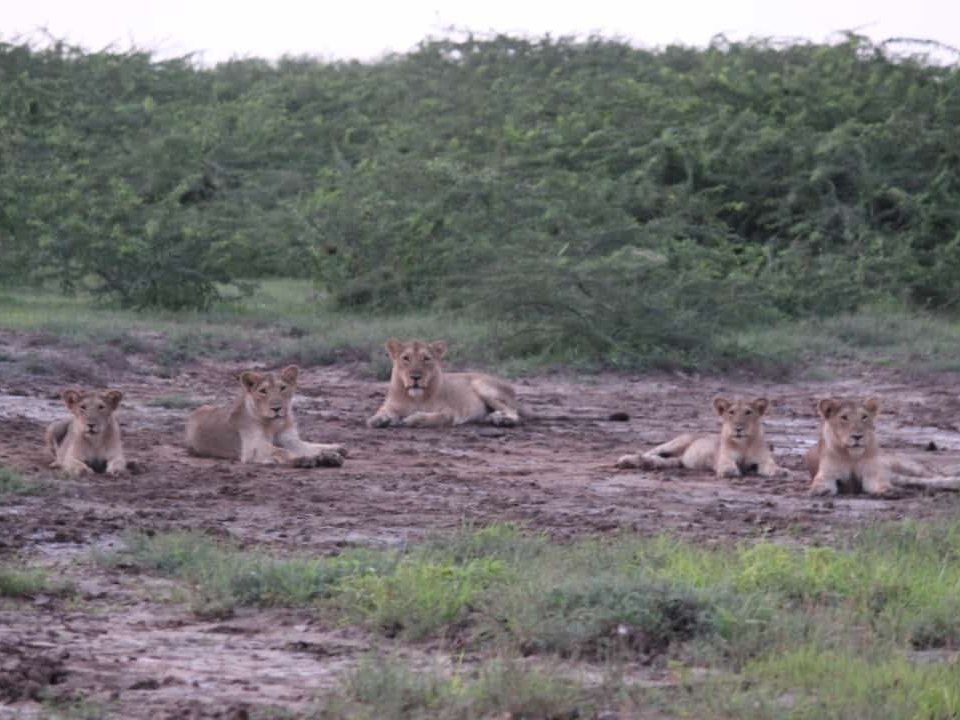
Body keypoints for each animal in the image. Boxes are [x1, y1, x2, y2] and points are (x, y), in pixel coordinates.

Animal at [186, 365, 346, 467]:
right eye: (263, 391)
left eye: (283, 388)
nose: (276, 408)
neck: (274, 424)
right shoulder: (253, 447)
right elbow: (281, 451)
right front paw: (304, 459)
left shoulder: (290, 440)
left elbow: (308, 446)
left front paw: (330, 455)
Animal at [366, 339, 526, 428]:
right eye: (406, 358)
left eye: (426, 358)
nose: (416, 377)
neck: (416, 397)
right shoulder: (389, 407)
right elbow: (380, 413)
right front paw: (378, 420)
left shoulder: (450, 412)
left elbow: (432, 417)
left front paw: (411, 419)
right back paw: (492, 417)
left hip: (481, 386)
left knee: (513, 411)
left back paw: (503, 420)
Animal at [615, 397, 789, 479]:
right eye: (731, 412)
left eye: (748, 412)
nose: (738, 428)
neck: (744, 443)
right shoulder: (723, 458)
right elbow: (727, 465)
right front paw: (729, 471)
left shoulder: (764, 460)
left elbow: (771, 466)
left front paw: (780, 471)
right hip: (675, 443)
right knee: (651, 452)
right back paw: (627, 460)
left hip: (676, 461)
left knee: (662, 461)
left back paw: (644, 463)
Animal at [805, 397, 960, 496]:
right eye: (844, 417)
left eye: (864, 417)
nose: (857, 436)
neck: (852, 456)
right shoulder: (827, 474)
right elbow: (820, 482)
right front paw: (819, 490)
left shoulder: (872, 474)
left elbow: (880, 483)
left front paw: (889, 490)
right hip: (901, 477)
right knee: (924, 482)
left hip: (909, 467)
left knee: (935, 477)